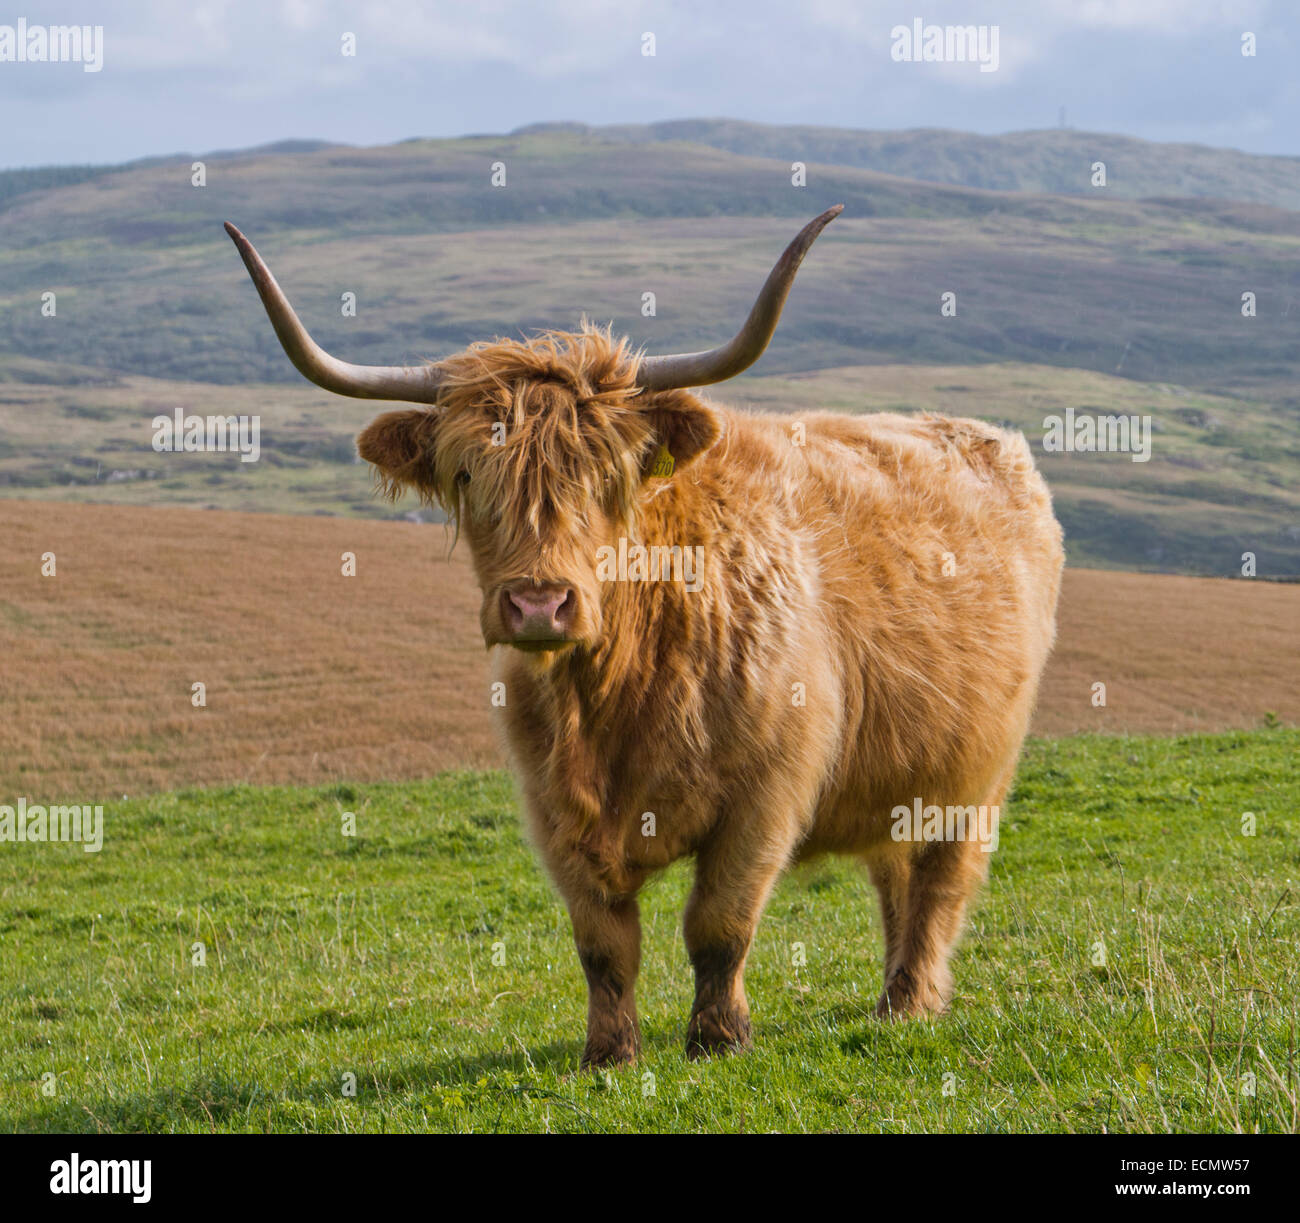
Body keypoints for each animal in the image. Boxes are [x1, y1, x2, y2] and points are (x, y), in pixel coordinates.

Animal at [225, 207, 1064, 1067]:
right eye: (466, 475)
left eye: (606, 476)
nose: (537, 605)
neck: (614, 691)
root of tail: (980, 438)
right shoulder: (552, 809)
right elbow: (603, 942)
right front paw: (610, 1050)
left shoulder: (766, 793)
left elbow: (719, 924)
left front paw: (718, 1036)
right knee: (895, 877)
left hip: (973, 777)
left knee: (938, 884)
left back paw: (911, 1002)